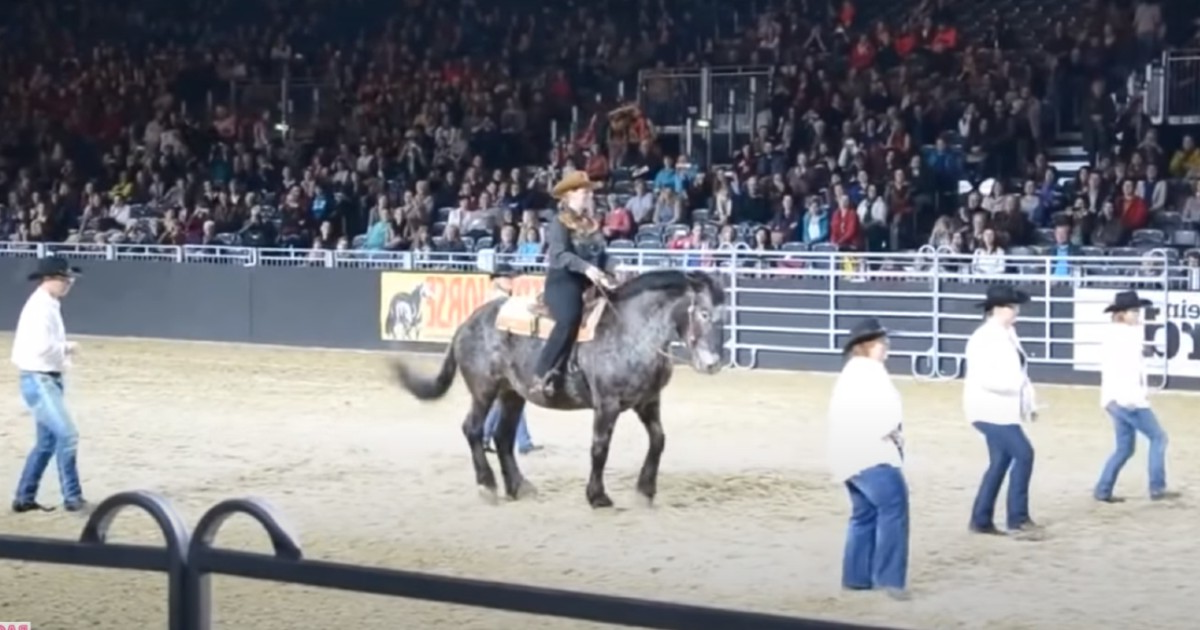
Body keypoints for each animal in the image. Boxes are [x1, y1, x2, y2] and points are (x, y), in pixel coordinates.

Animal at [389, 269, 726, 508]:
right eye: (703, 313)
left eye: (724, 316)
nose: (713, 363)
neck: (631, 330)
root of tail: (466, 324)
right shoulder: (607, 405)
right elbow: (600, 448)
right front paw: (597, 496)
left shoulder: (648, 401)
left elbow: (658, 440)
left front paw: (645, 491)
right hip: (484, 390)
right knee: (473, 429)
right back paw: (487, 486)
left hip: (512, 394)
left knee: (502, 436)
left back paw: (519, 486)